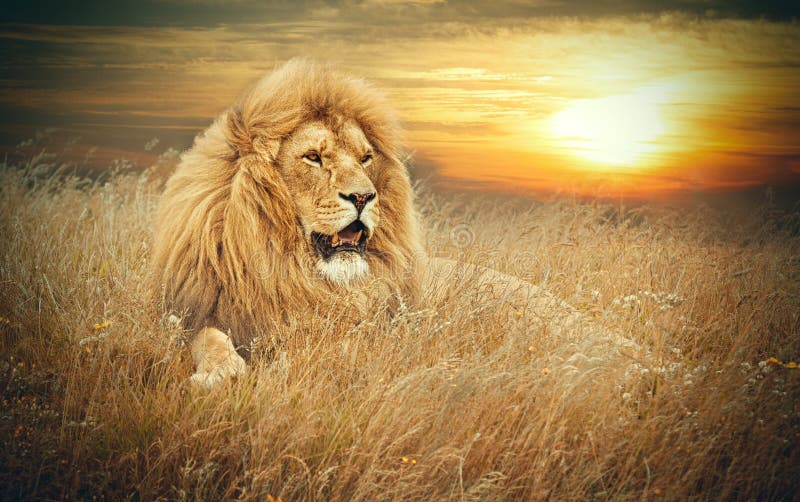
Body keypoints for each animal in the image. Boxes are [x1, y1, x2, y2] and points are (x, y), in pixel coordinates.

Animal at [152, 59, 634, 387]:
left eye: (366, 158)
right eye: (313, 157)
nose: (364, 197)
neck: (293, 272)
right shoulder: (197, 313)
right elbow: (208, 337)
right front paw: (221, 373)